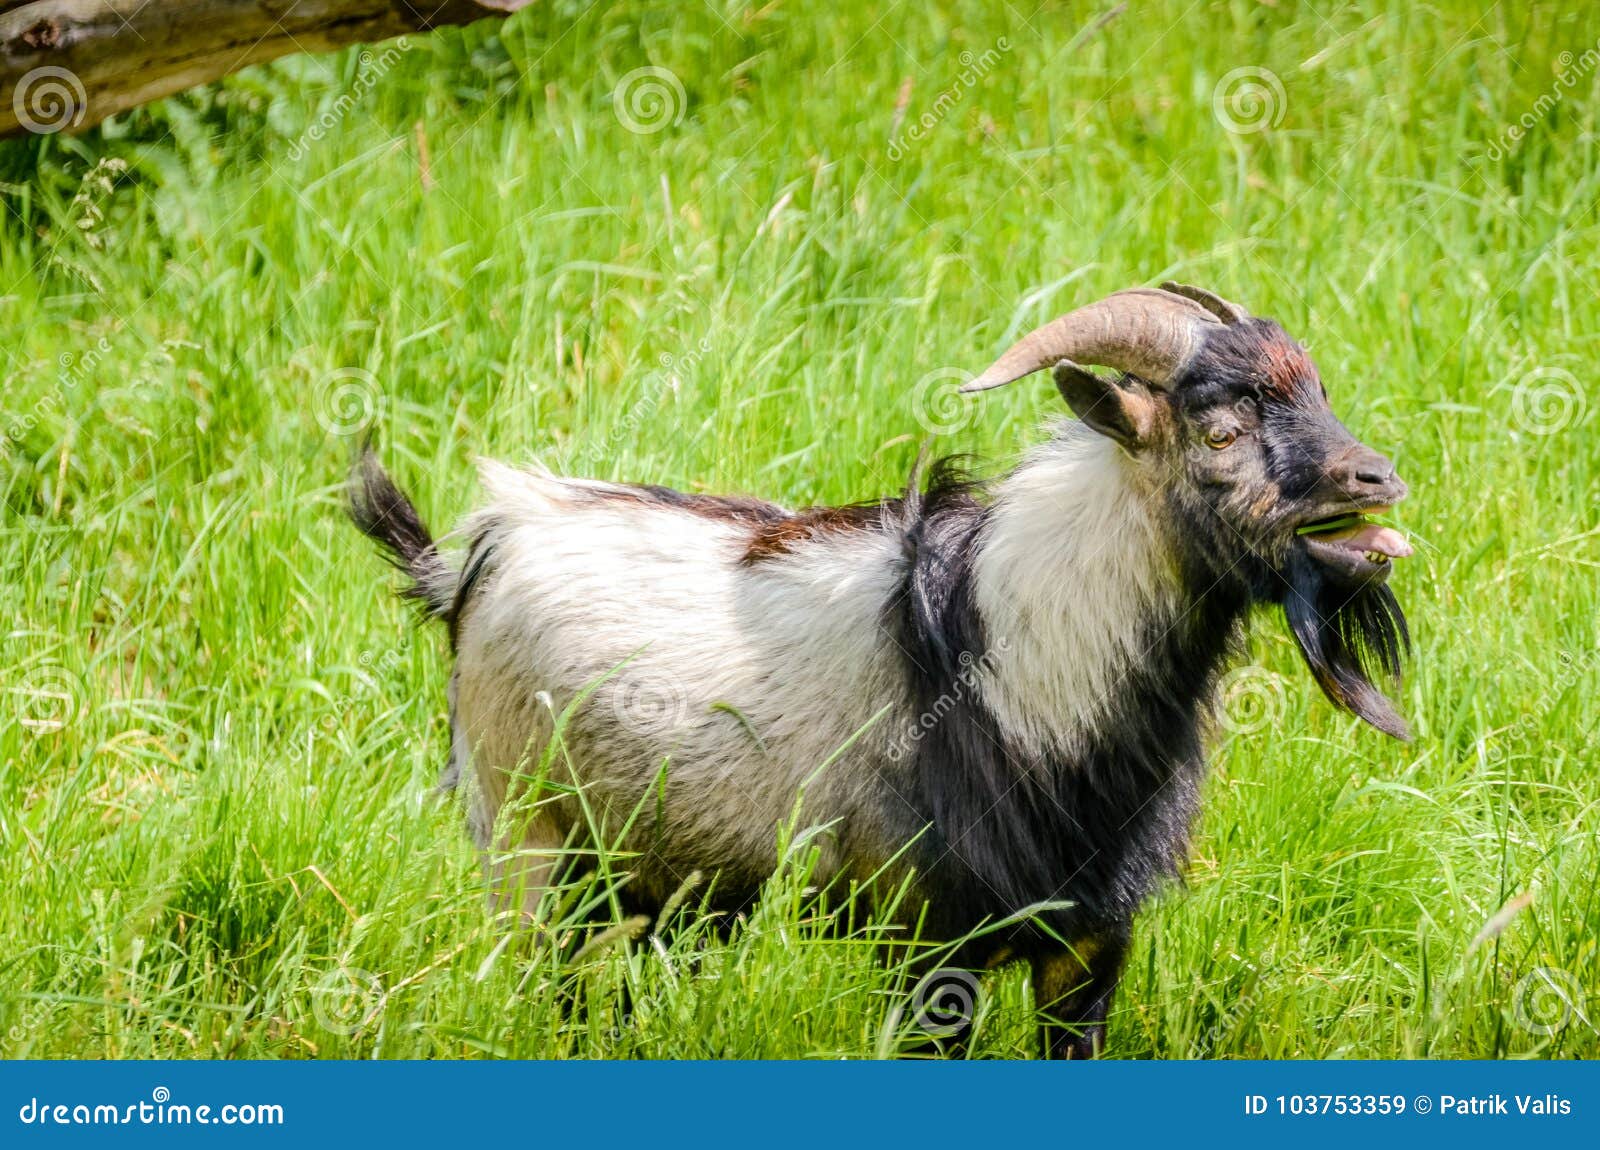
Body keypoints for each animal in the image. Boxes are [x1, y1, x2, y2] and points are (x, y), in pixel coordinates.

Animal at [349, 282, 1413, 1058]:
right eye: (1220, 433)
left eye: (1316, 397)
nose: (1381, 479)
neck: (1024, 657)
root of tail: (485, 545)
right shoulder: (932, 942)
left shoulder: (1088, 947)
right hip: (527, 841)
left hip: (651, 884)